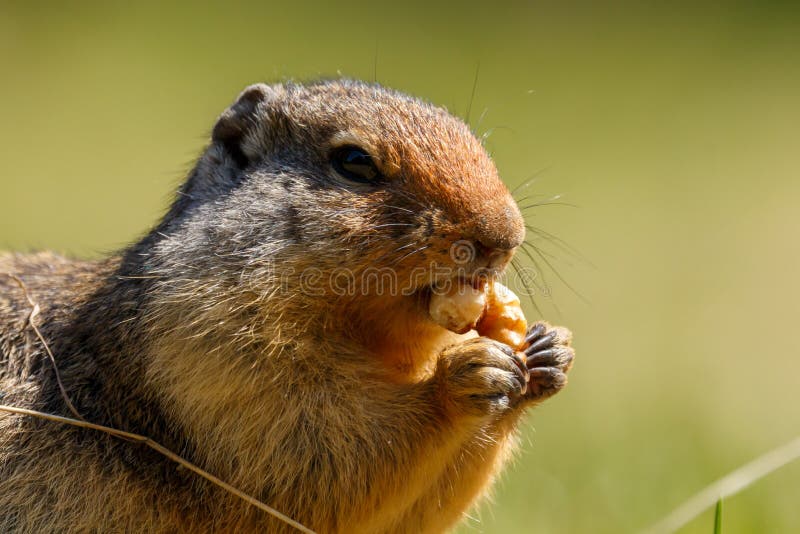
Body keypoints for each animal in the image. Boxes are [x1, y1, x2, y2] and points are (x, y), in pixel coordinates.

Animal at [0, 80, 574, 533]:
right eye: (354, 162)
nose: (505, 236)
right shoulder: (209, 357)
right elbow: (320, 448)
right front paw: (465, 374)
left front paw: (549, 351)